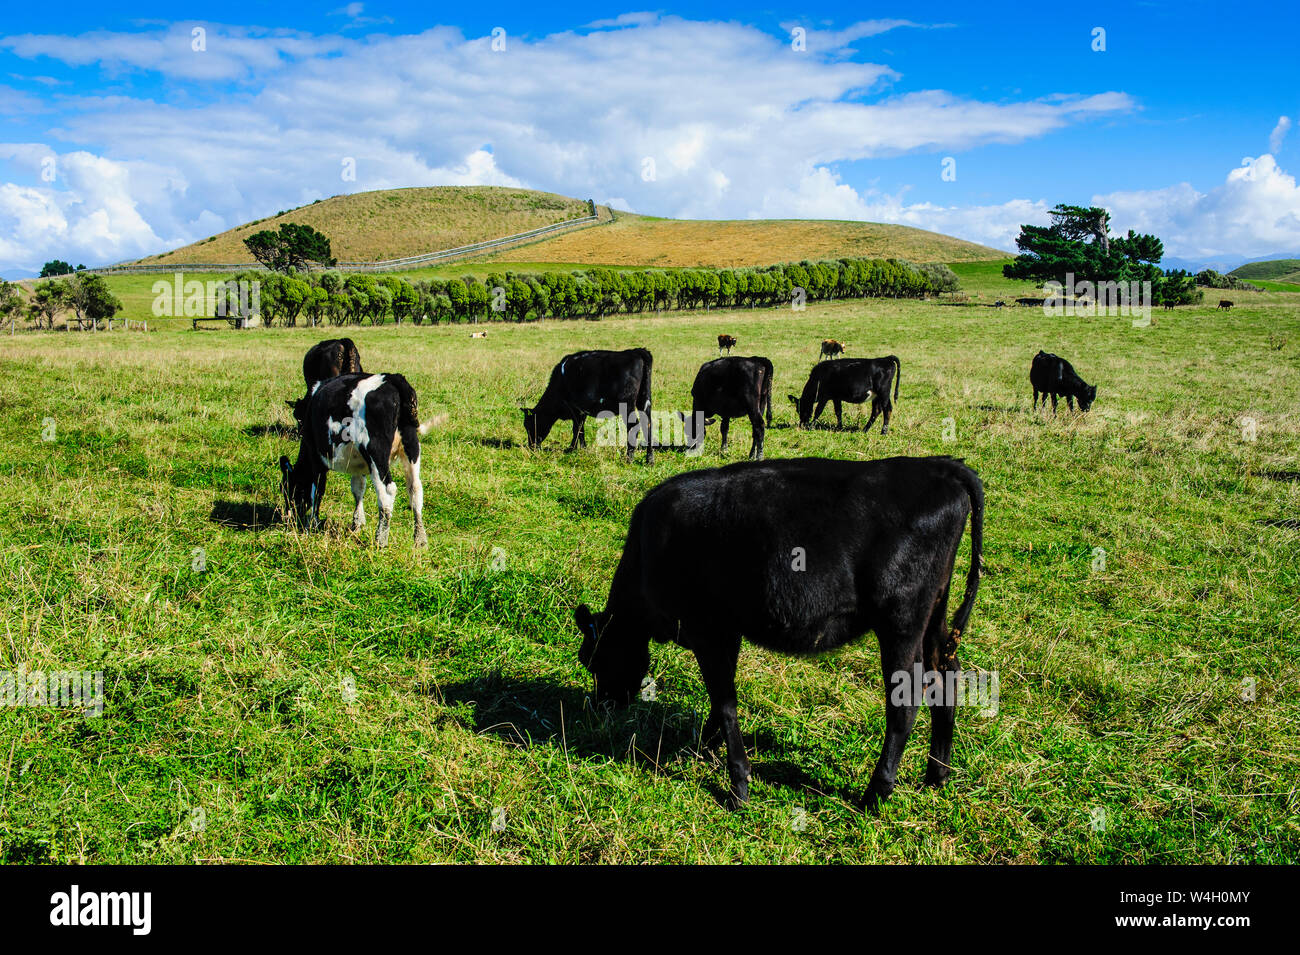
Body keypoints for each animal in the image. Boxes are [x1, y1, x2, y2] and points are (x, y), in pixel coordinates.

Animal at [279, 372, 431, 548]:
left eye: (287, 488)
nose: (287, 518)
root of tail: (391, 378)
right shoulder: (359, 465)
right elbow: (358, 488)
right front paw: (357, 524)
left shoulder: (316, 457)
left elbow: (317, 490)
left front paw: (312, 524)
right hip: (411, 446)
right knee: (415, 489)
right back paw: (420, 540)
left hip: (376, 451)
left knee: (387, 491)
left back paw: (380, 540)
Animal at [522, 349, 654, 463]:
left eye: (529, 425)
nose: (531, 446)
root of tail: (635, 351)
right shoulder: (582, 411)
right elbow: (581, 429)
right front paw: (582, 449)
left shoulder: (574, 408)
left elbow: (577, 429)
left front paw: (571, 449)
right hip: (644, 400)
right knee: (647, 424)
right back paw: (649, 460)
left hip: (627, 404)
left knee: (634, 425)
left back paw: (629, 458)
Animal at [575, 455, 984, 809]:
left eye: (594, 662)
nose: (603, 707)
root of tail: (939, 465)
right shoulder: (727, 632)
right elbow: (720, 698)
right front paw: (704, 748)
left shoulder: (705, 629)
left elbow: (725, 702)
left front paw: (738, 785)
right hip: (935, 614)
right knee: (947, 676)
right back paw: (937, 775)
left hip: (901, 620)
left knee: (906, 701)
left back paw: (875, 793)